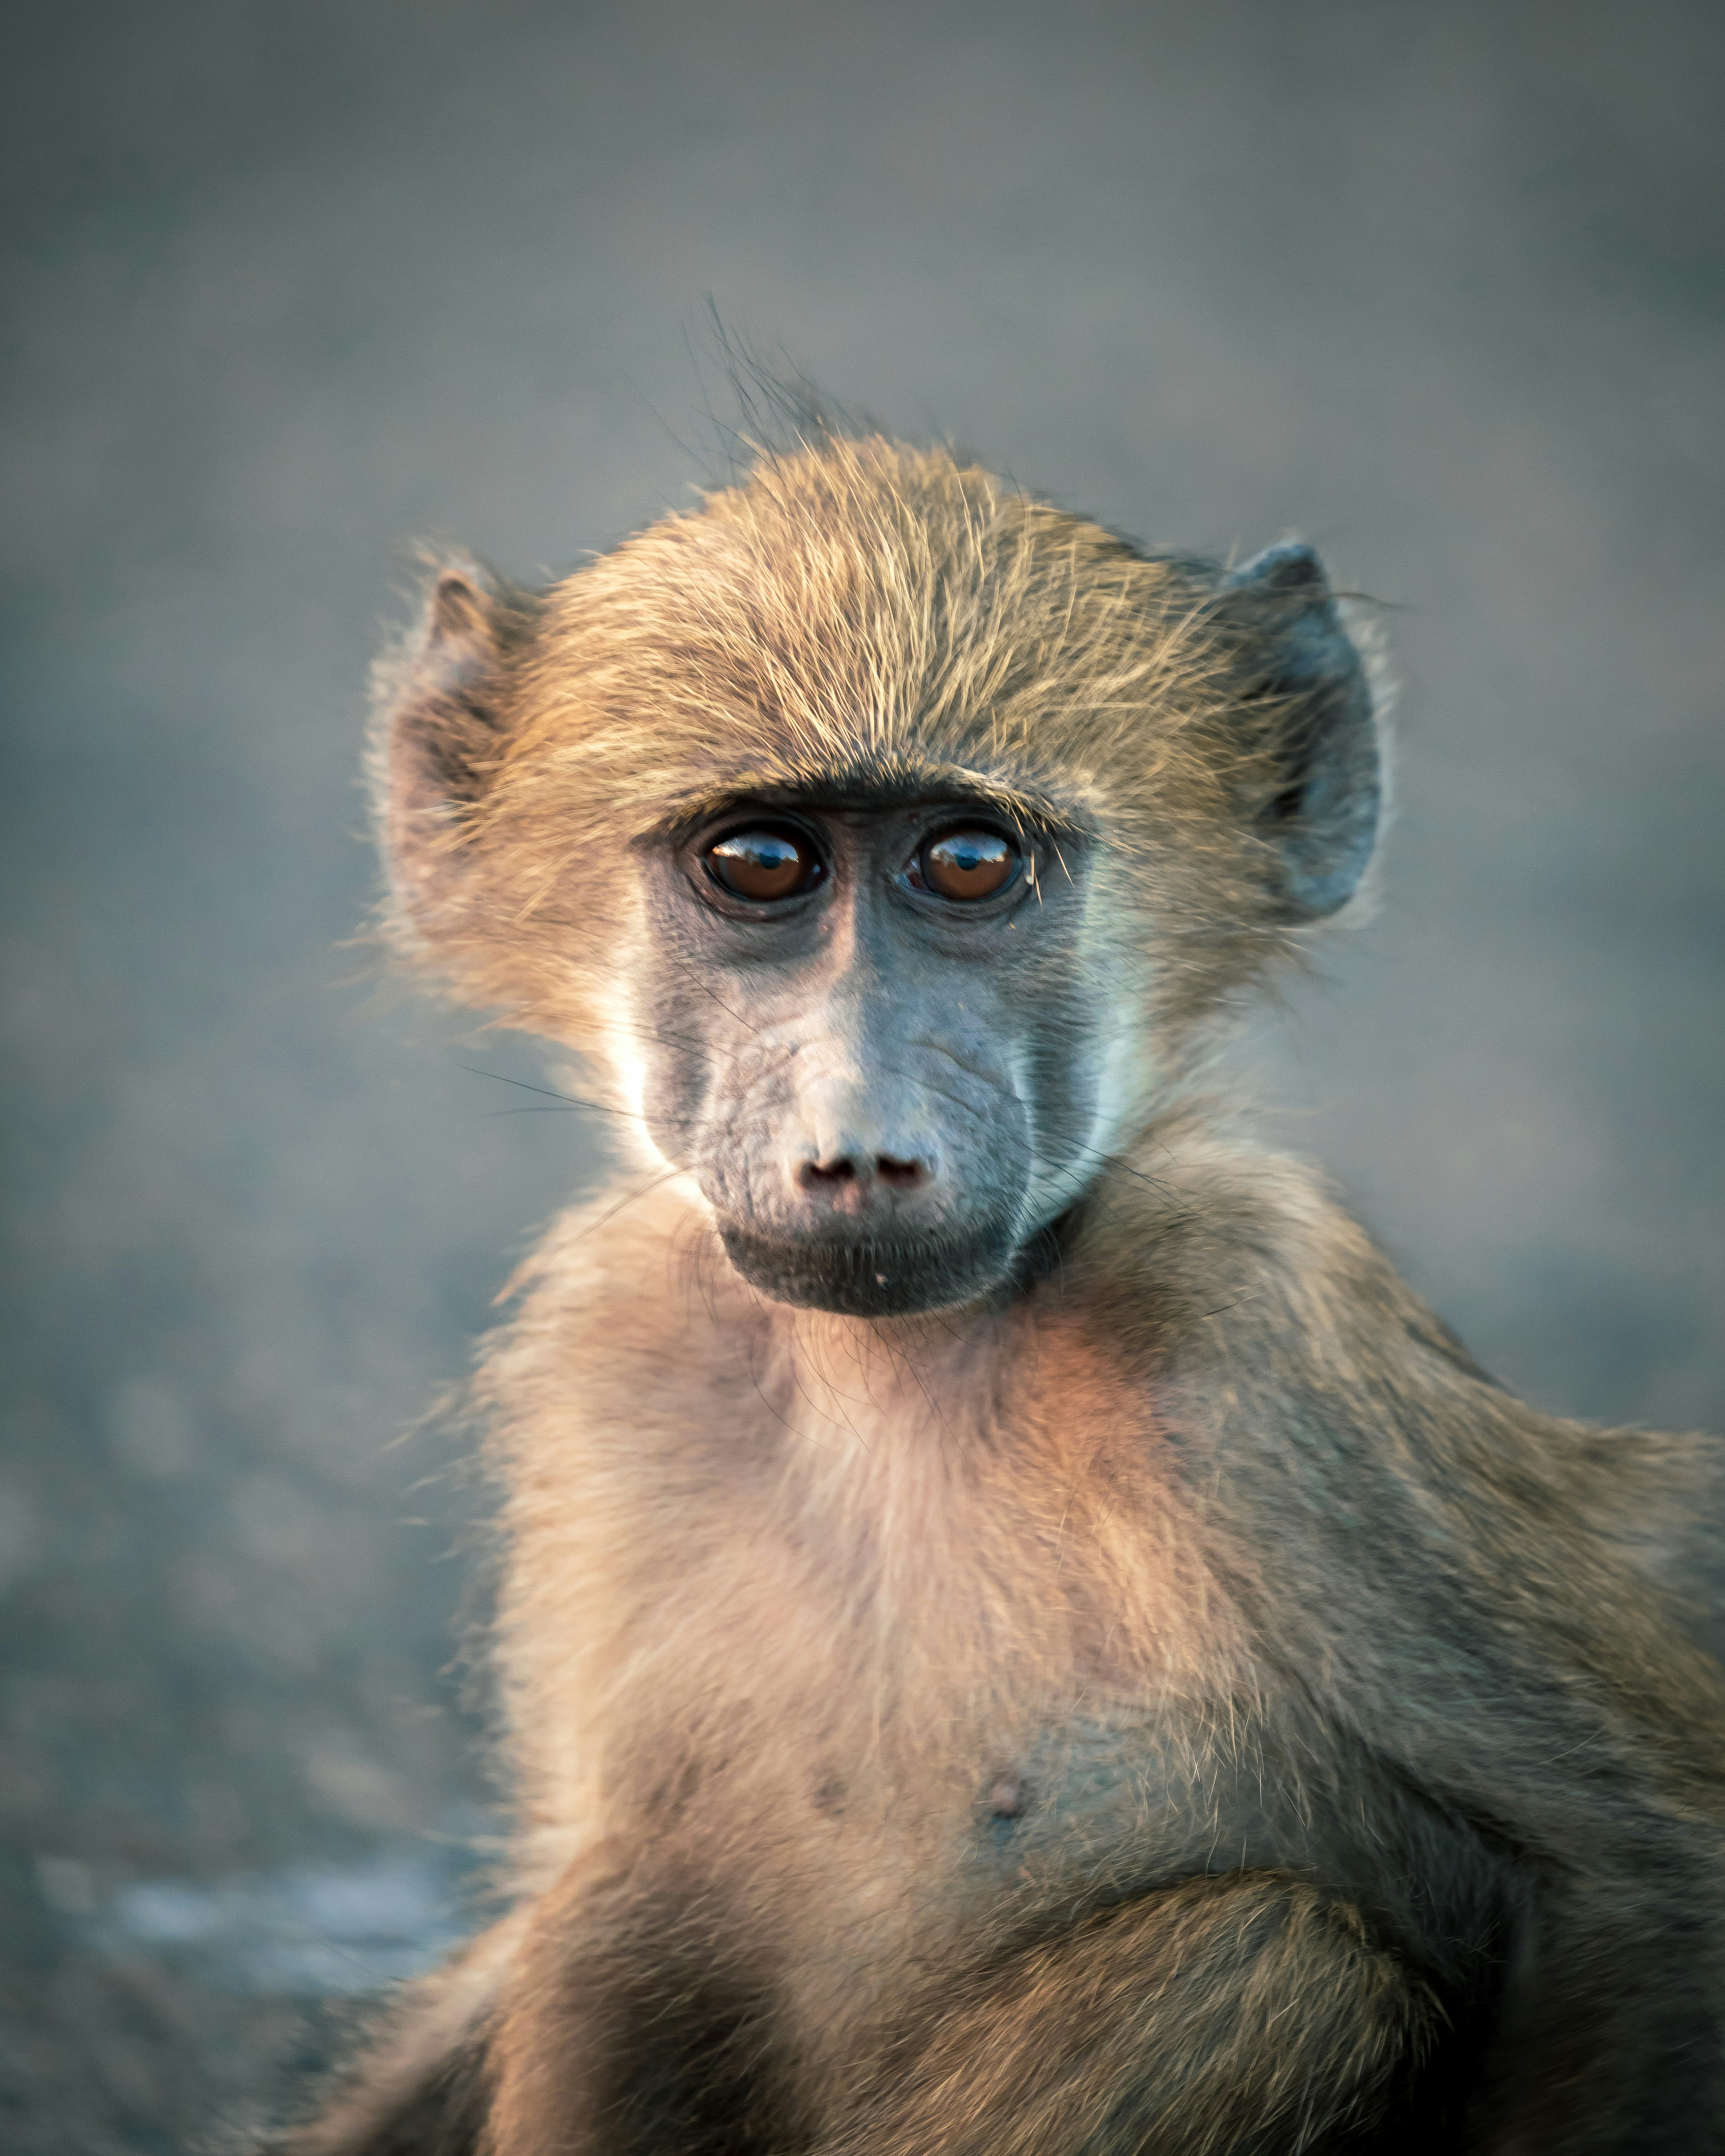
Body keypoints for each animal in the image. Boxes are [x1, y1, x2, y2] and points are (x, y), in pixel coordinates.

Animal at [284, 427, 1725, 2156]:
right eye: (758, 863)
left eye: (966, 864)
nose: (859, 1147)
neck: (890, 1373)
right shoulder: (609, 1340)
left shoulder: (1254, 1323)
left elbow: (1644, 1894)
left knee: (1261, 1951)